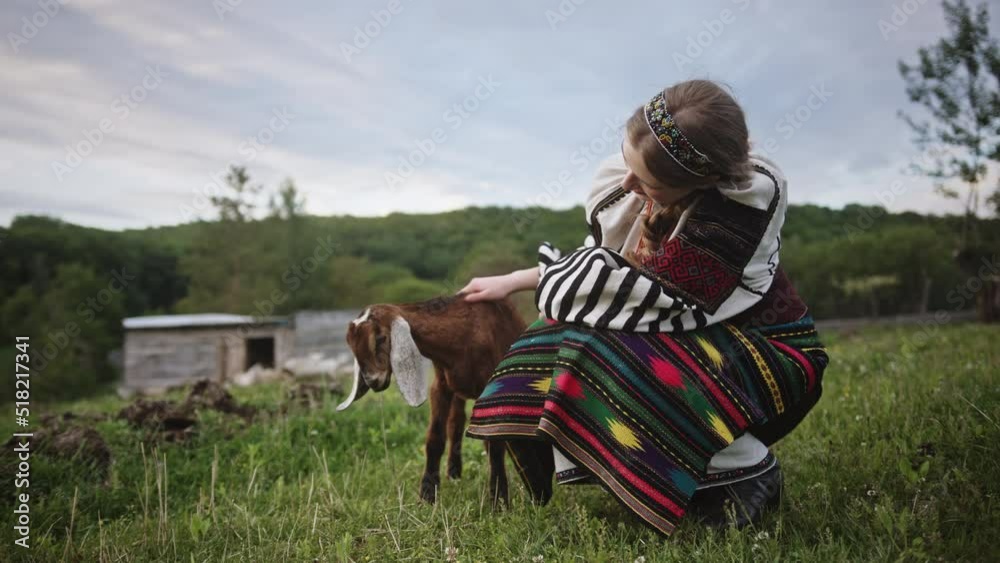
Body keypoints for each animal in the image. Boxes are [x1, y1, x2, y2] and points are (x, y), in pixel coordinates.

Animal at [340, 295, 551, 506]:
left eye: (380, 338)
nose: (372, 381)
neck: (461, 337)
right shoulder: (440, 386)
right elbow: (435, 437)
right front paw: (427, 493)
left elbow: (495, 445)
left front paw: (499, 500)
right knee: (456, 423)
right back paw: (454, 472)